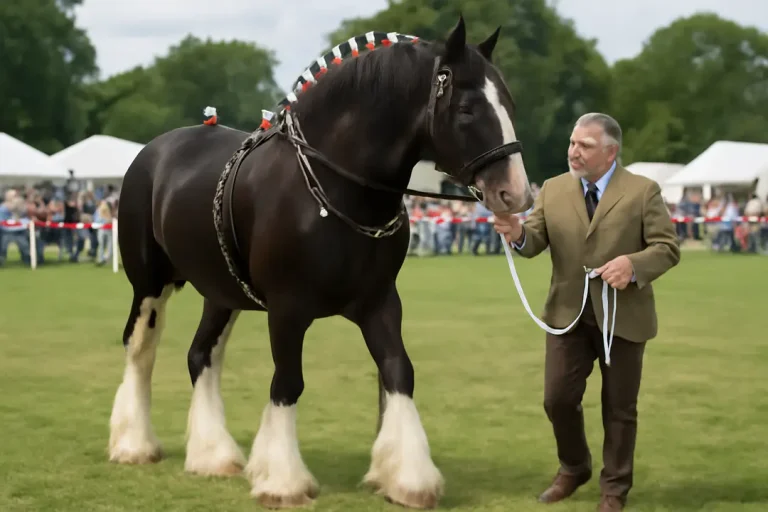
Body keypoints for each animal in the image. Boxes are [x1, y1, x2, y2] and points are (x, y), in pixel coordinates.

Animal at [108, 16, 534, 509]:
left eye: (510, 103)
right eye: (466, 109)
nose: (515, 193)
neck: (335, 186)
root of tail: (152, 153)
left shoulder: (380, 303)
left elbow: (398, 371)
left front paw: (407, 477)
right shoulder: (287, 309)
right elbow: (287, 382)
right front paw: (283, 480)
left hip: (222, 290)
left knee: (202, 355)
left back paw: (213, 455)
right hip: (149, 284)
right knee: (140, 349)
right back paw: (134, 445)